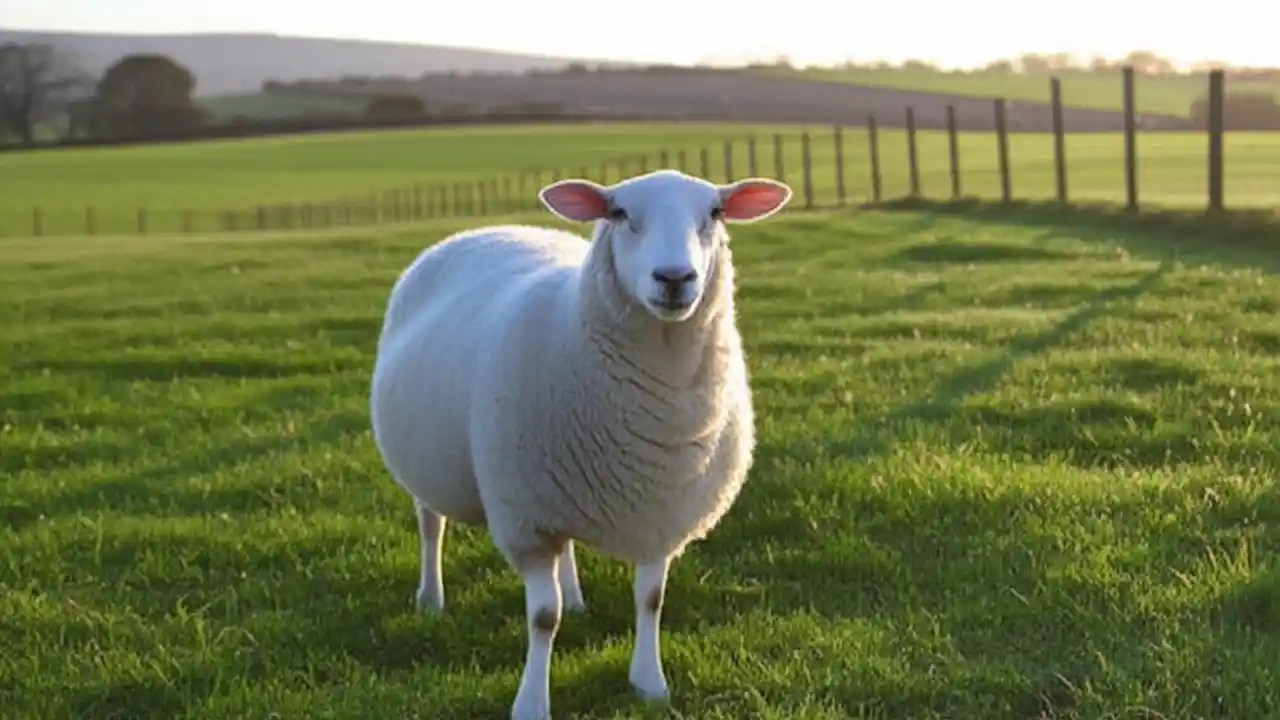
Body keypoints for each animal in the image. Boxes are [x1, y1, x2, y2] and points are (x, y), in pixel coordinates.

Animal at [369, 168, 792, 719]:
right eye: (620, 214)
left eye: (715, 213)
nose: (674, 278)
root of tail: (486, 228)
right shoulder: (526, 521)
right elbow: (542, 618)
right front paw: (531, 702)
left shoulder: (662, 509)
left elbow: (650, 600)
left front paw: (649, 683)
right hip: (424, 459)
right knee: (429, 526)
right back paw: (431, 599)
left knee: (565, 546)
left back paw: (574, 596)